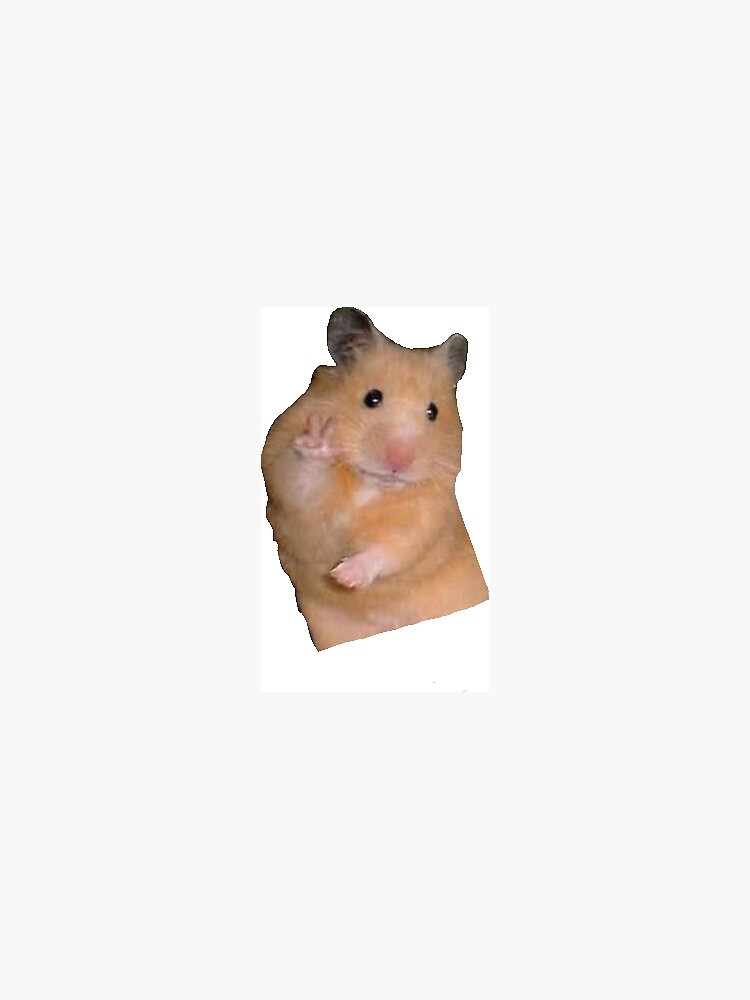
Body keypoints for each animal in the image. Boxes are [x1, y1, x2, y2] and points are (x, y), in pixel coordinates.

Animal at [261, 307, 489, 651]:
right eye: (372, 398)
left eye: (433, 411)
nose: (398, 462)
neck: (372, 485)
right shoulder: (285, 481)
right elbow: (302, 478)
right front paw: (320, 441)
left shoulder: (426, 516)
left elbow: (391, 548)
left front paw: (344, 576)